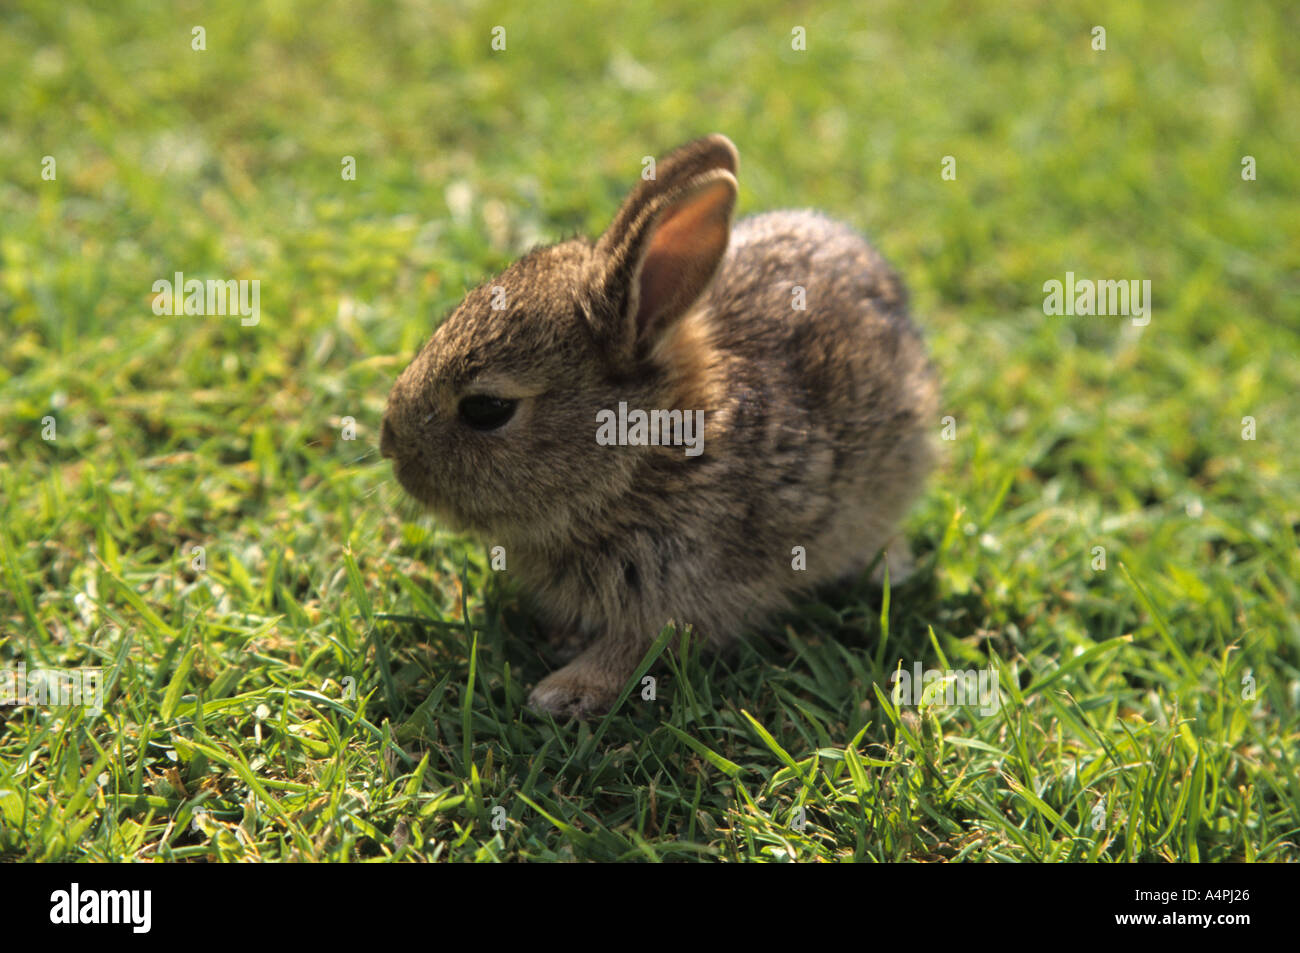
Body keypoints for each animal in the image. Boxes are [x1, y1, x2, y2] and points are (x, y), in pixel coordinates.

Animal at [380, 133, 939, 719]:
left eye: (486, 409)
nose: (389, 445)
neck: (648, 451)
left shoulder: (684, 585)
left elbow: (640, 645)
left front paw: (565, 691)